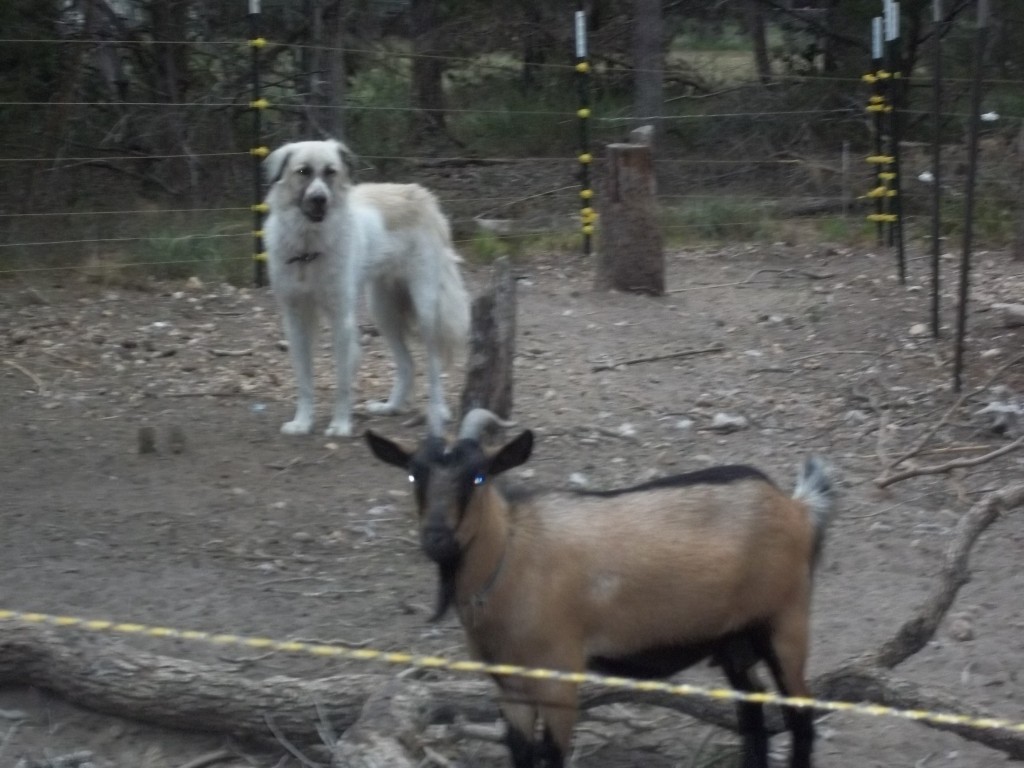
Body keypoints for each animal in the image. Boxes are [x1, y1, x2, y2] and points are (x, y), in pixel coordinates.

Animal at [365, 409, 836, 768]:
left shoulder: (559, 676)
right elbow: (522, 755)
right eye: (413, 474)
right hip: (732, 640)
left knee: (801, 716)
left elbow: (552, 757)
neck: (511, 556)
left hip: (785, 622)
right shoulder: (508, 686)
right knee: (752, 713)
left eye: (478, 476)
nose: (437, 538)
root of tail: (797, 507)